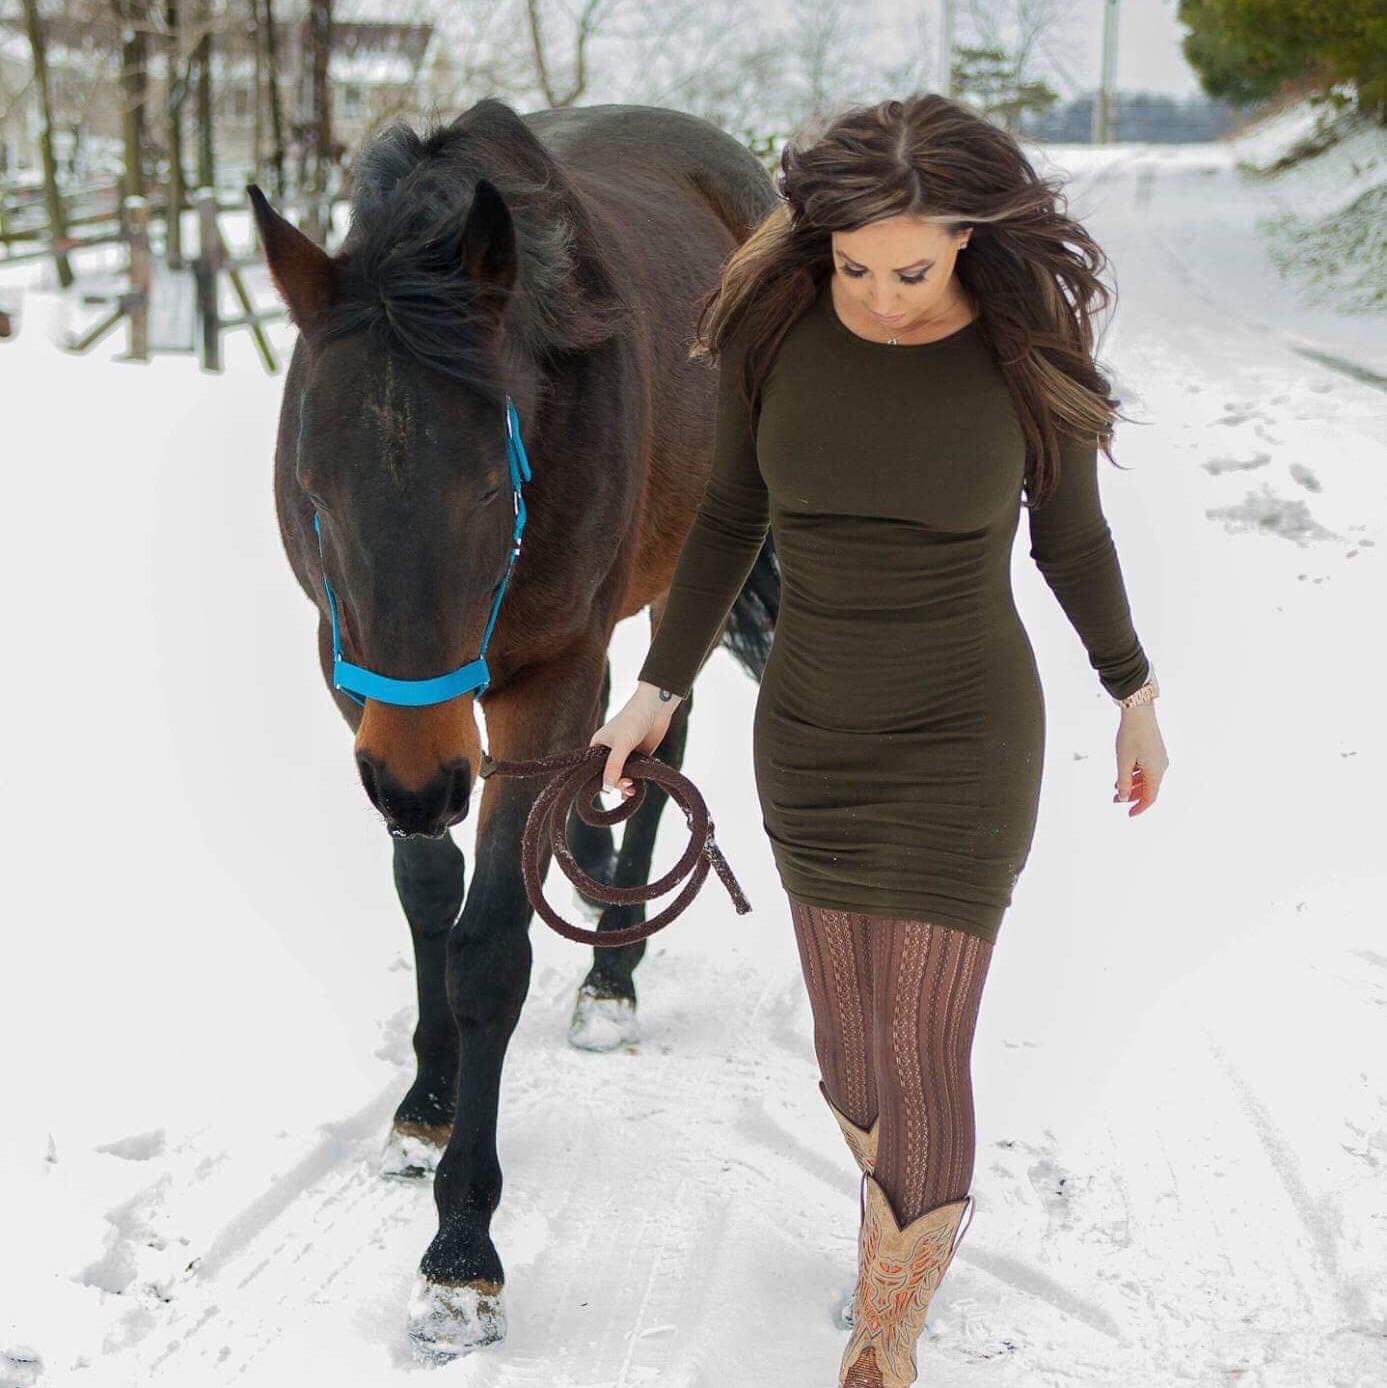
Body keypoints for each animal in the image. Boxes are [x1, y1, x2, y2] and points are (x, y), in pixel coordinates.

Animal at [249, 97, 780, 1357]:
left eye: (491, 488)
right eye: (314, 492)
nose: (418, 779)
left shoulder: (544, 675)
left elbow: (489, 946)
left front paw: (459, 1254)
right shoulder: (364, 690)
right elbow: (427, 900)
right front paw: (426, 1104)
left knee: (660, 739)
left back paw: (613, 975)